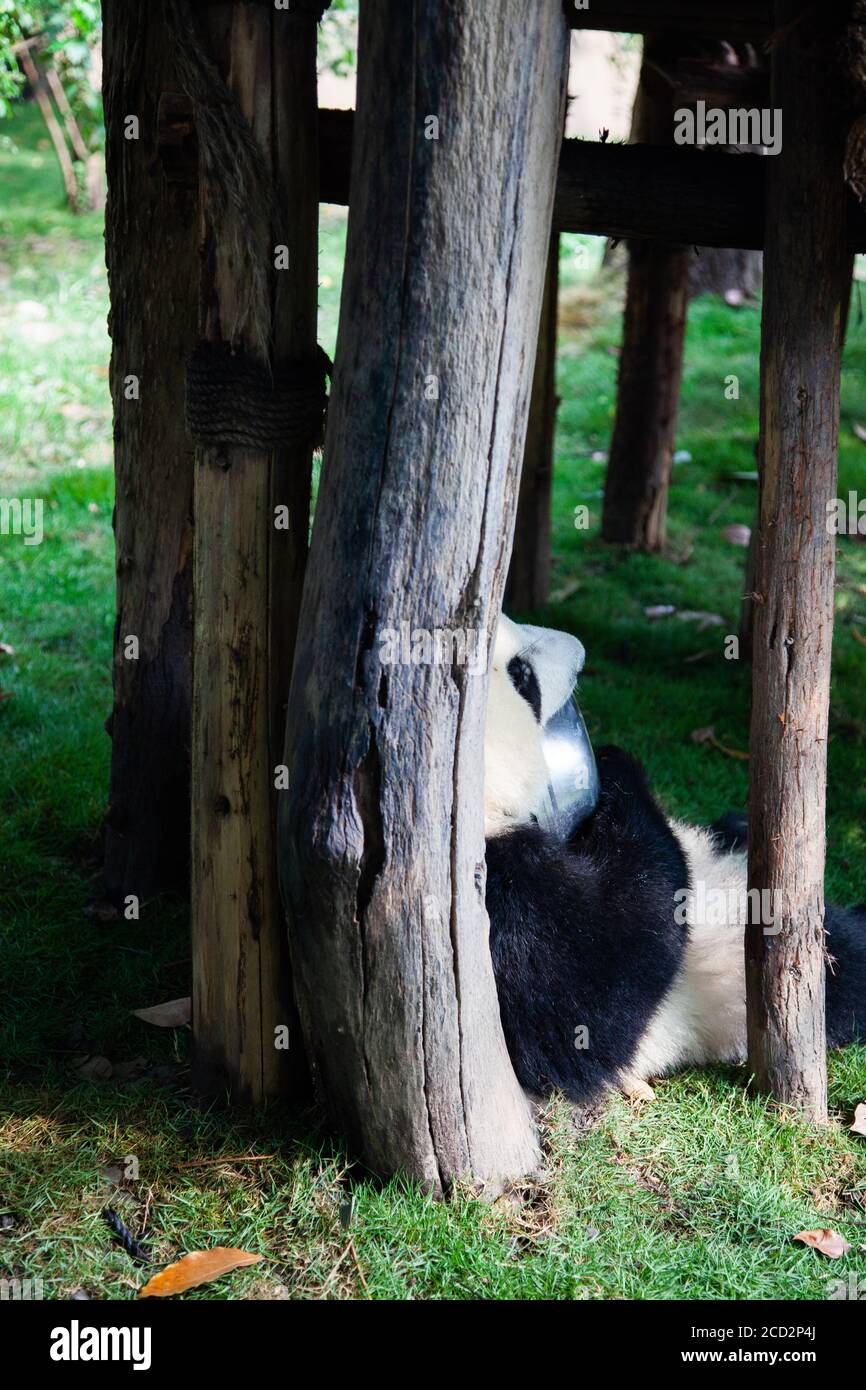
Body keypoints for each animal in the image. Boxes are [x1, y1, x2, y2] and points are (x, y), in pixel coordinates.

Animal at [483, 613, 866, 1104]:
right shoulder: (500, 895)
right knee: (847, 963)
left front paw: (609, 764)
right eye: (522, 676)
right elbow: (584, 1007)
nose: (578, 650)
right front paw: (622, 774)